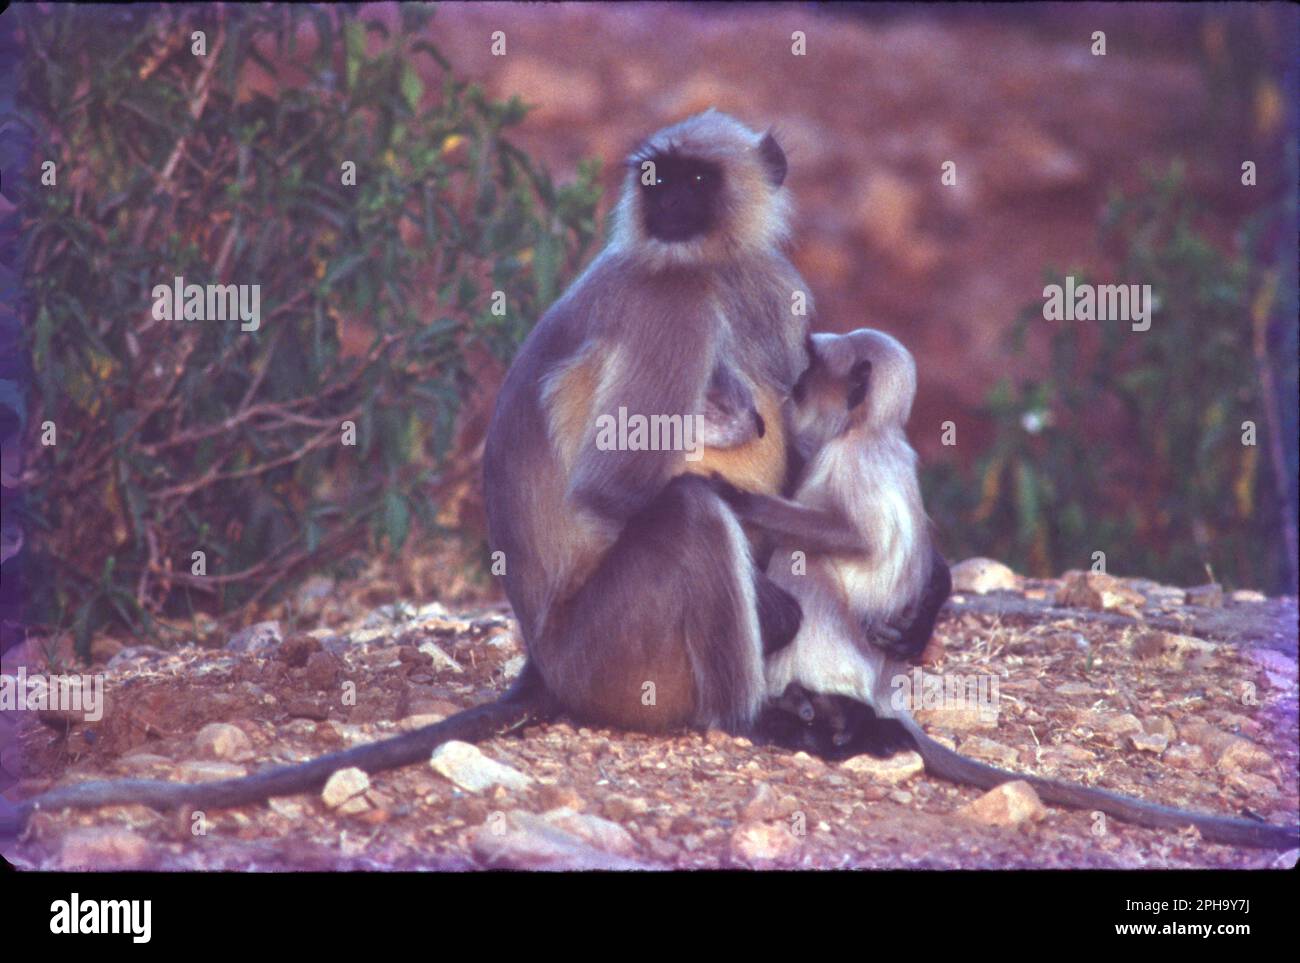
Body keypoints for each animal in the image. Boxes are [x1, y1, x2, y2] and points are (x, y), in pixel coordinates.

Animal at [0, 110, 819, 836]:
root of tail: (543, 665)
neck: (713, 267)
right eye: (659, 178)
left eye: (696, 179)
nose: (668, 204)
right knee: (690, 512)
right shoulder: (671, 306)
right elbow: (614, 483)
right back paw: (752, 717)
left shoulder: (776, 292)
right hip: (612, 653)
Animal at [714, 327, 1300, 849]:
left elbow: (854, 537)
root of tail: (887, 692)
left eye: (813, 367)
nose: (794, 384)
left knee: (806, 561)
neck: (867, 432)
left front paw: (736, 499)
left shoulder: (857, 462)